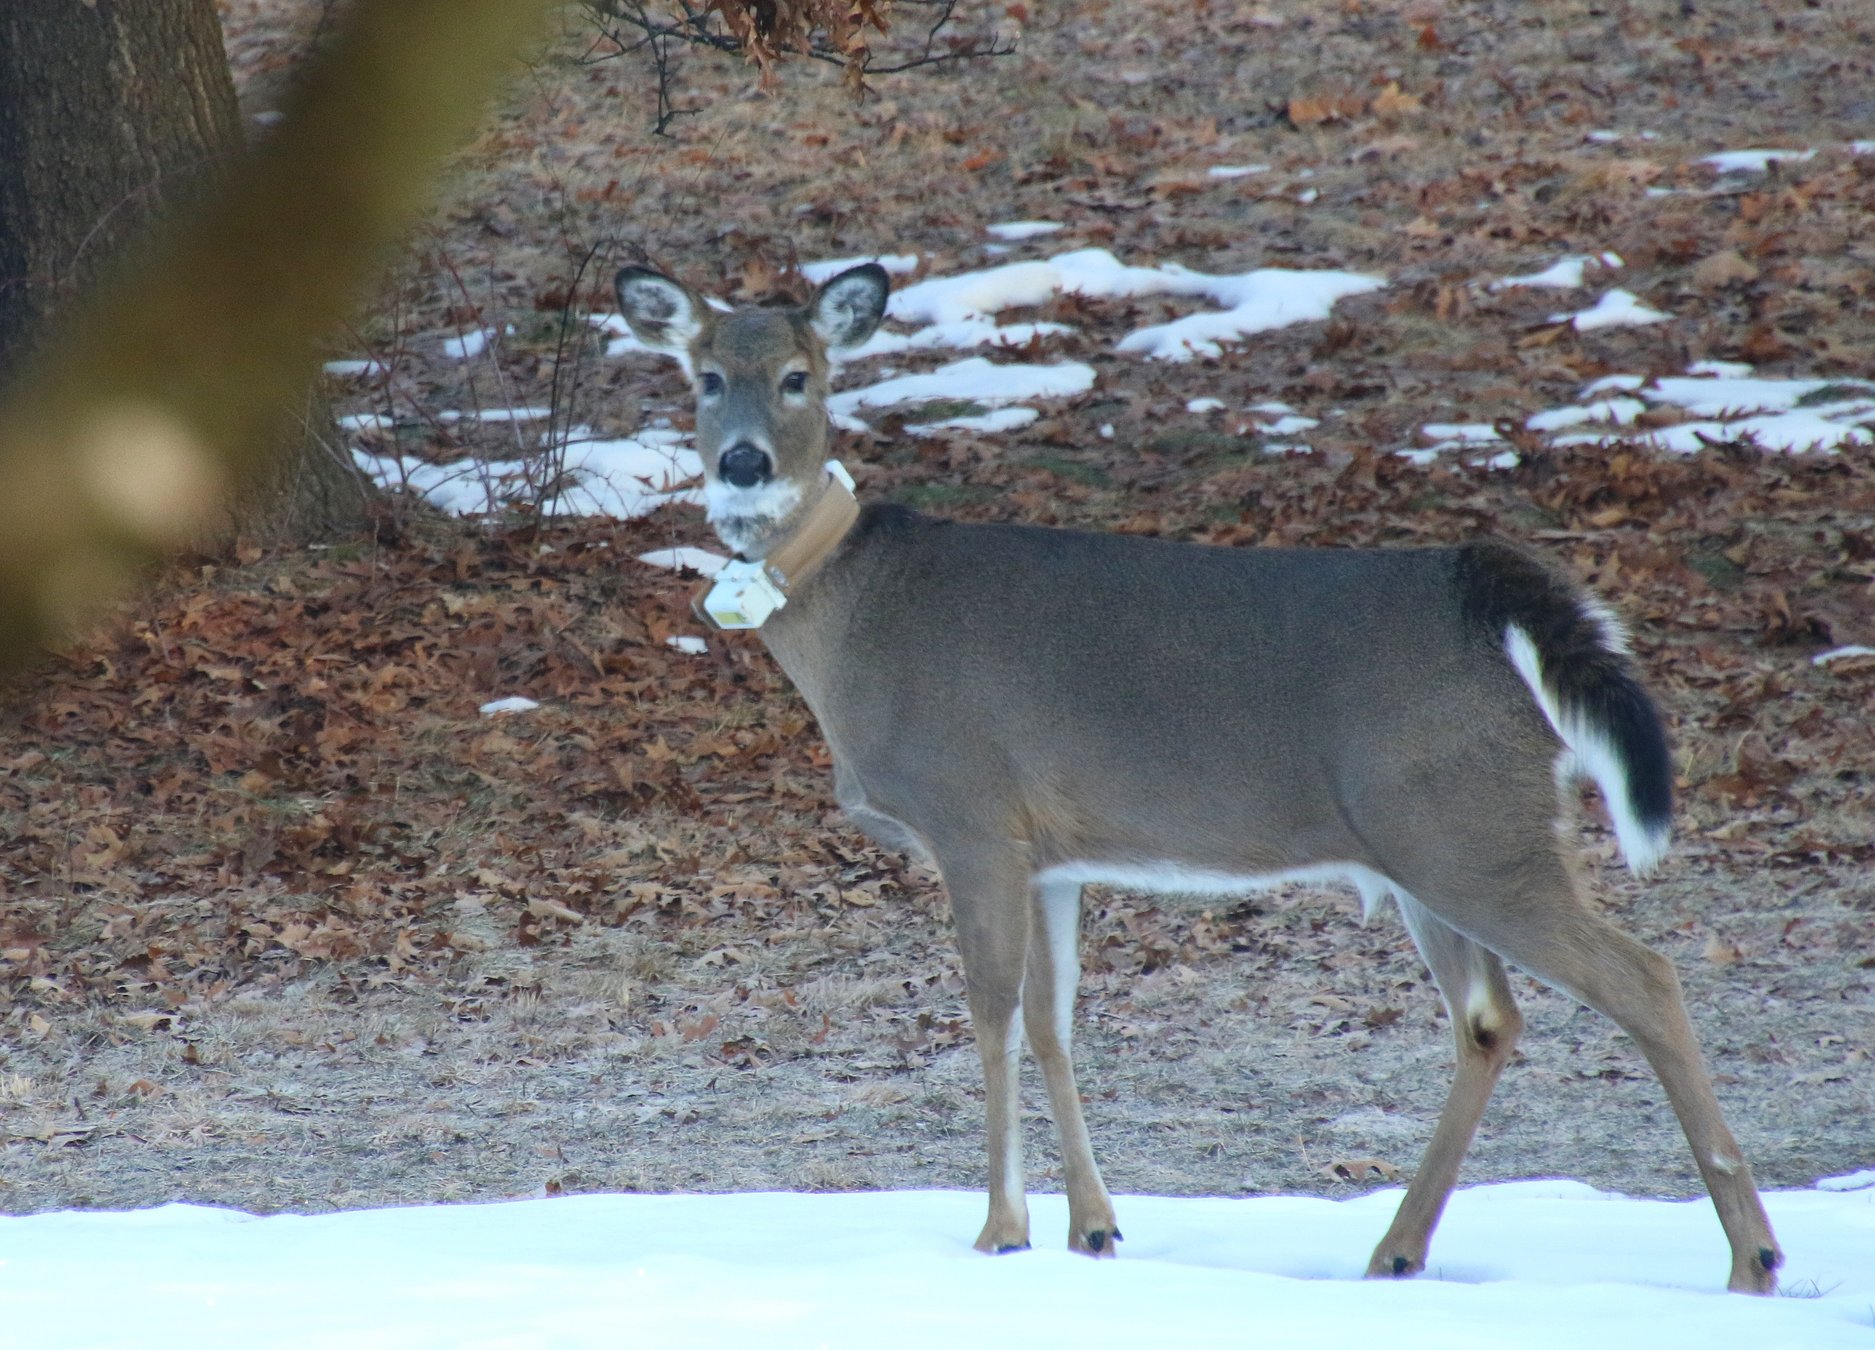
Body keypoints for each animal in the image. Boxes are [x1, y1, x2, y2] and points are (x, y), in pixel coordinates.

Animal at [613, 259, 1784, 1294]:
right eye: (704, 374)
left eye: (798, 374)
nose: (744, 464)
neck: (850, 620)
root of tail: (1484, 595)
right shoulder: (1050, 853)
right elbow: (1053, 1018)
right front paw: (1093, 1228)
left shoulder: (971, 815)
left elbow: (990, 1012)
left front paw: (998, 1232)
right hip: (1432, 844)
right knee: (1490, 1017)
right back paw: (1396, 1251)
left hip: (1466, 833)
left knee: (1644, 977)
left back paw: (1752, 1255)